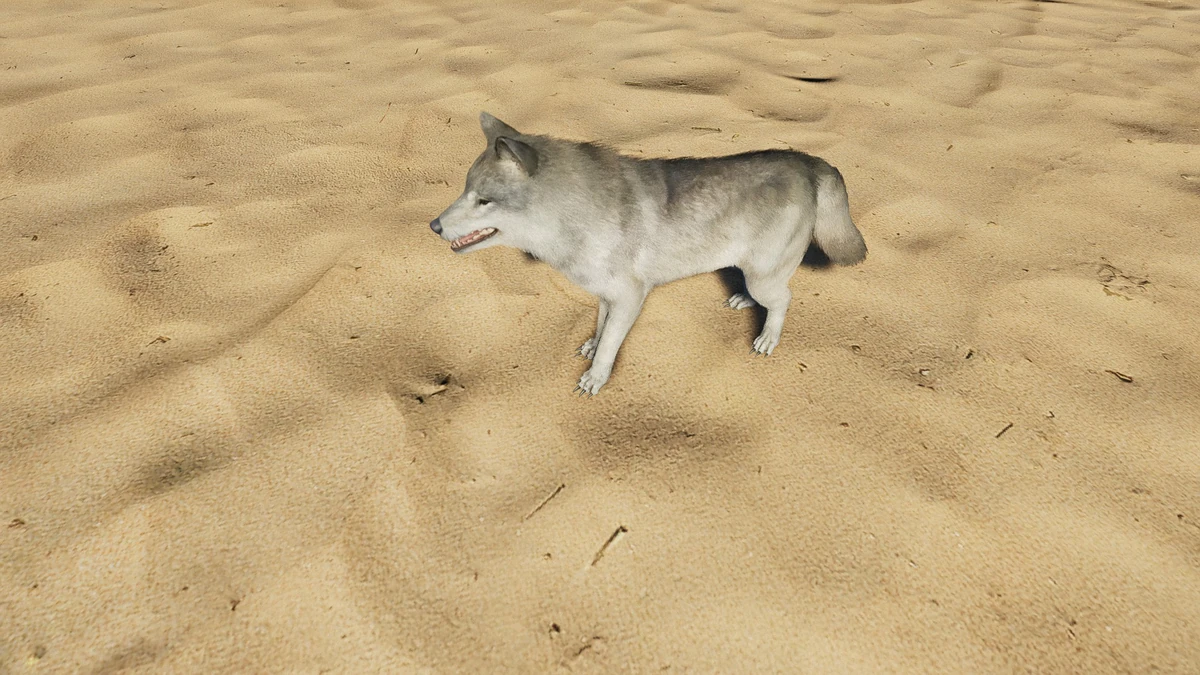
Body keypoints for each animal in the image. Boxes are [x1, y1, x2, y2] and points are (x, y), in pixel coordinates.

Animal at [430, 112, 867, 396]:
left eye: (484, 200)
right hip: (752, 269)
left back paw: (768, 336)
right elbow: (601, 327)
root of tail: (808, 160)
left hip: (765, 274)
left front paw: (596, 375)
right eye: (465, 190)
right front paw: (592, 346)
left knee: (784, 299)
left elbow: (610, 342)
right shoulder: (606, 294)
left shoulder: (630, 295)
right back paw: (743, 299)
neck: (572, 215)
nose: (433, 226)